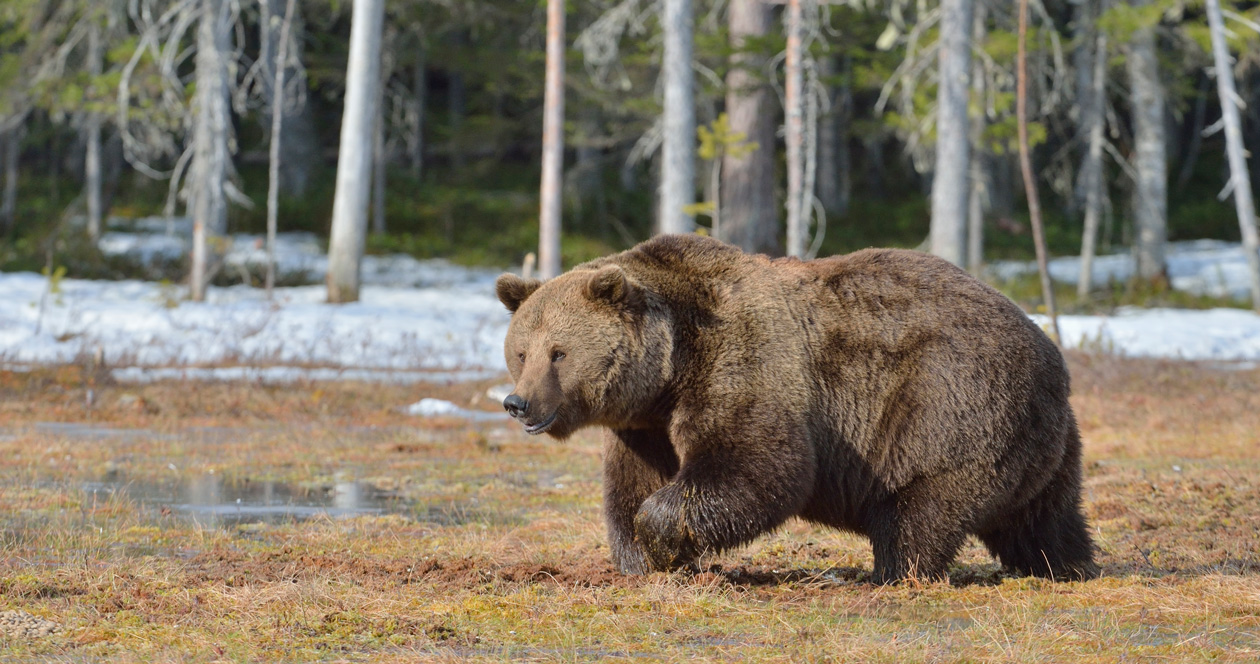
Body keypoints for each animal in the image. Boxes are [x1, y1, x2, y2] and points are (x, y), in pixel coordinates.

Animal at [495, 234, 1097, 583]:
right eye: (521, 350)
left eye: (559, 351)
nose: (517, 402)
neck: (669, 368)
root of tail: (1050, 352)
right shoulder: (643, 424)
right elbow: (634, 482)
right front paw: (640, 560)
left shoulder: (743, 361)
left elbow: (758, 464)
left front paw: (660, 537)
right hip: (1044, 440)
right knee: (1043, 515)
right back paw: (1068, 564)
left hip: (948, 404)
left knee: (922, 509)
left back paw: (887, 572)